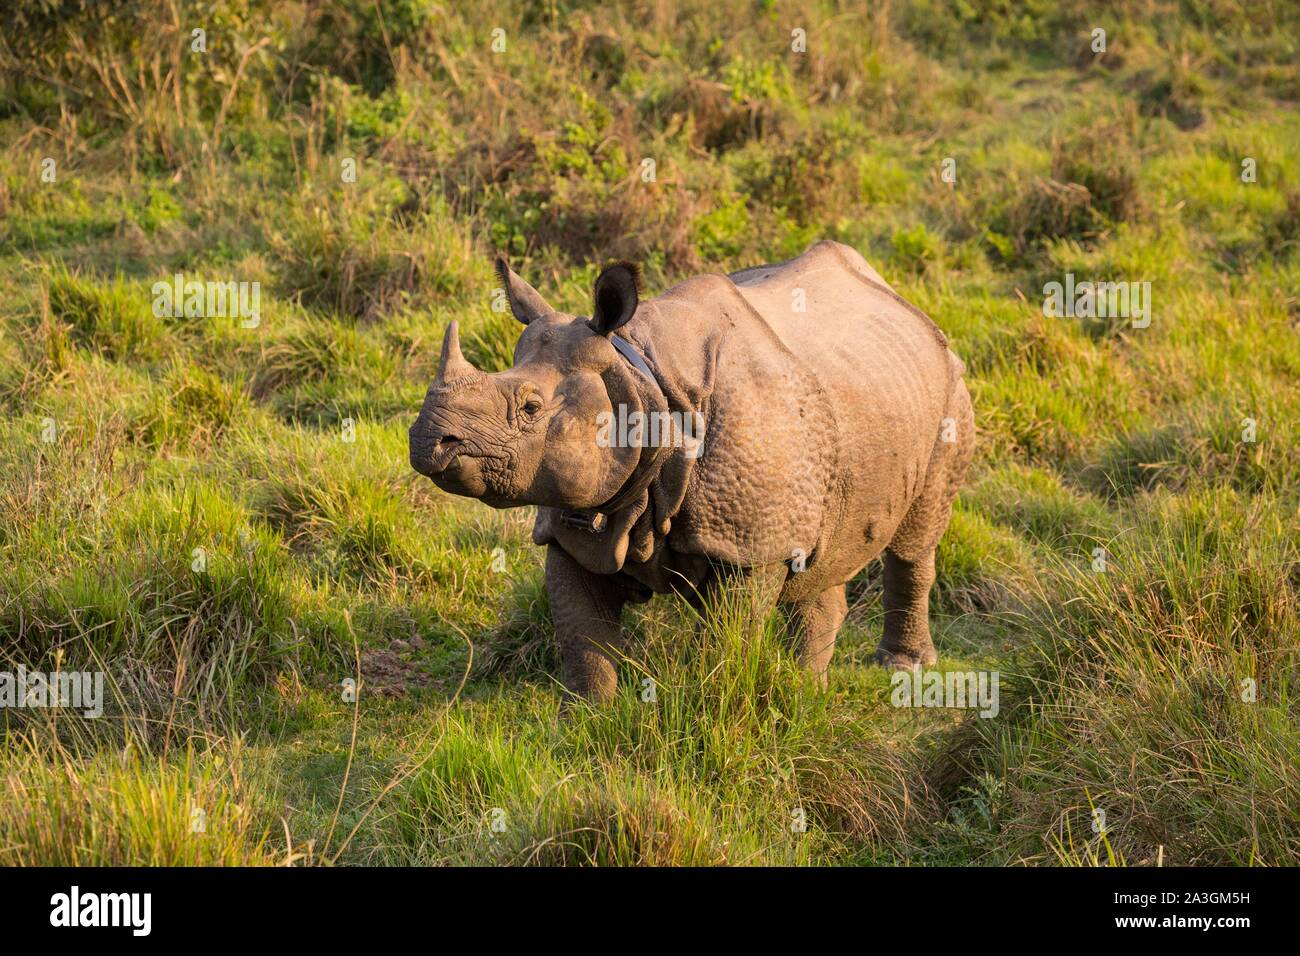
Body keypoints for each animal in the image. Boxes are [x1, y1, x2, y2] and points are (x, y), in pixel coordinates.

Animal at [410, 240, 974, 702]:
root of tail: (900, 297)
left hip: (949, 384)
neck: (640, 380)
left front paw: (714, 708)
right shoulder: (578, 516)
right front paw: (586, 720)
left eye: (530, 407)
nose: (426, 441)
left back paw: (902, 667)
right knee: (821, 554)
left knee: (916, 535)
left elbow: (726, 638)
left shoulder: (748, 543)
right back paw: (810, 689)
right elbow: (583, 638)